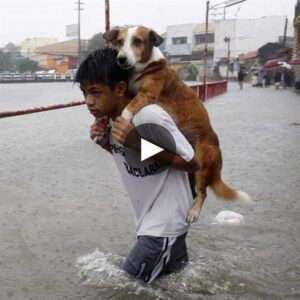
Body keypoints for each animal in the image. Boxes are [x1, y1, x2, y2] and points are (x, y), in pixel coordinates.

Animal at [103, 25, 251, 223]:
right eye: (119, 42)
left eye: (137, 41)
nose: (121, 59)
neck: (144, 67)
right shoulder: (131, 90)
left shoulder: (147, 94)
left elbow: (128, 107)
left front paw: (123, 120)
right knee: (195, 190)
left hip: (202, 166)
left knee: (203, 193)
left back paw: (194, 212)